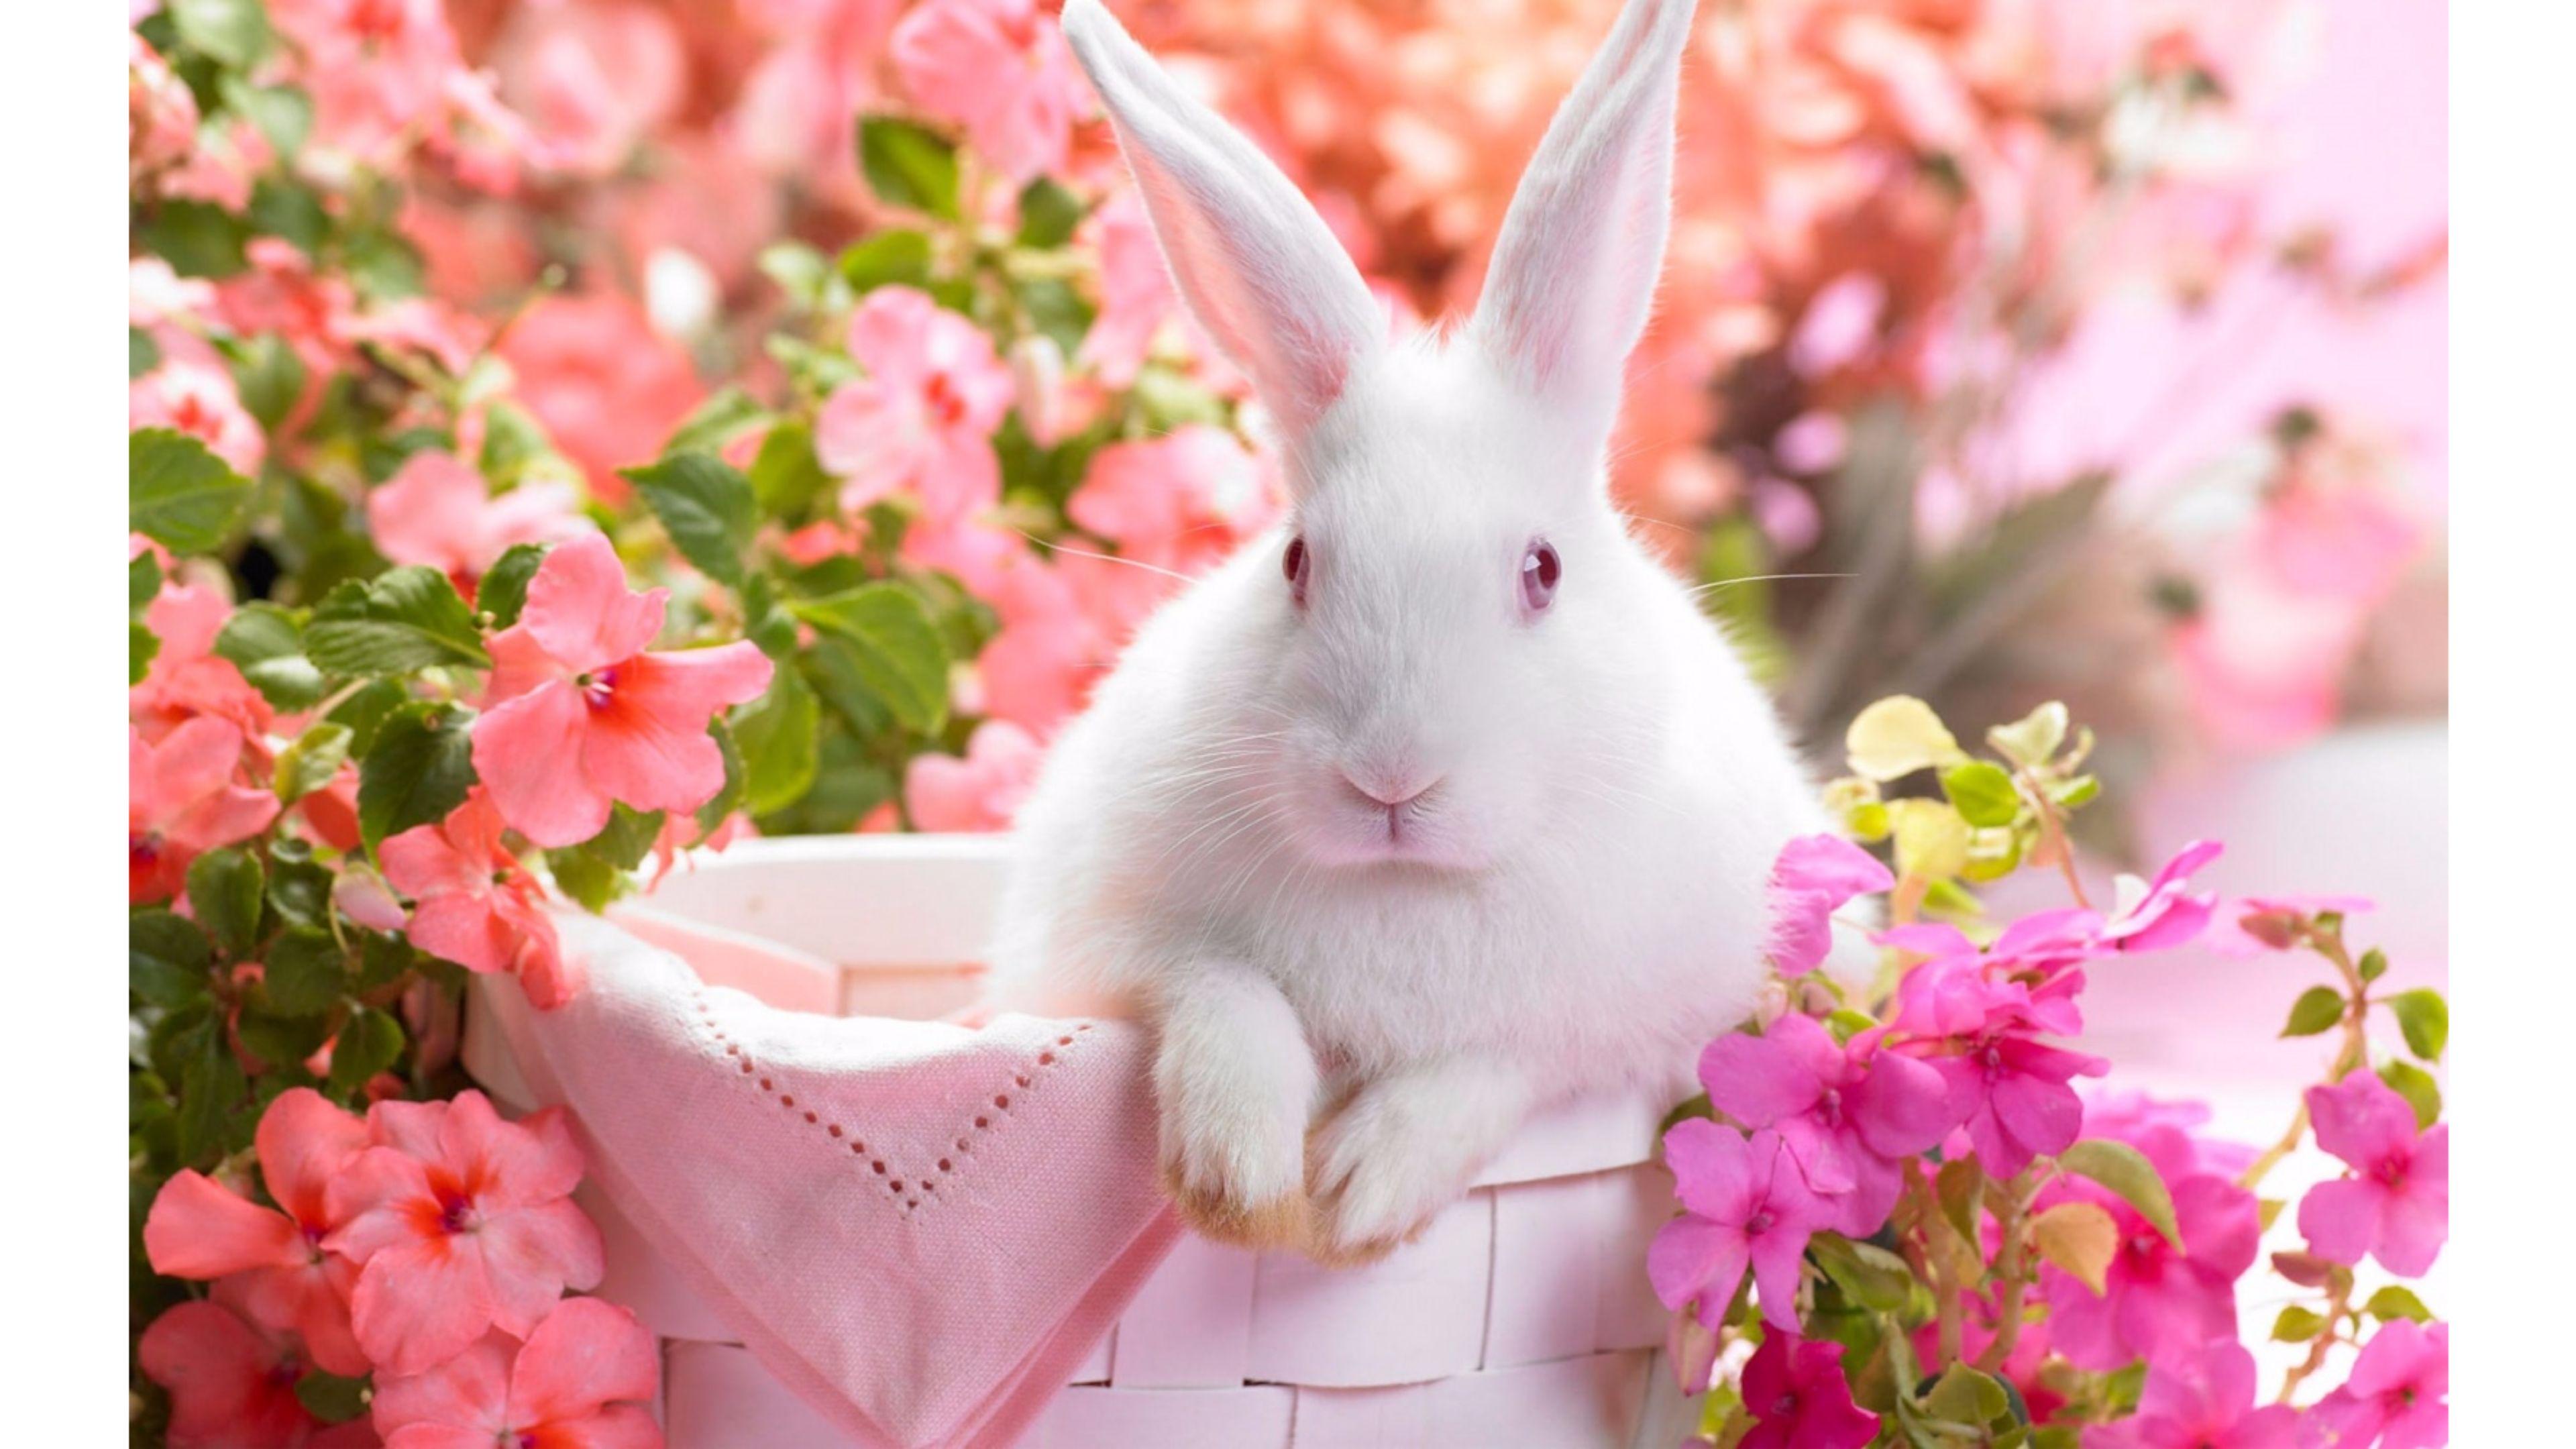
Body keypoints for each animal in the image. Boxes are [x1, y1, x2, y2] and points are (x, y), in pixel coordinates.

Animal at [988, 0, 1855, 1264]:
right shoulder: (1098, 943)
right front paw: (1242, 1179)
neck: (1408, 888)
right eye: (1297, 562)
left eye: (1542, 572)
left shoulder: (1647, 1019)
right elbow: (1219, 988)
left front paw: (1361, 1188)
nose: (1390, 781)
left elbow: (1500, 1063)